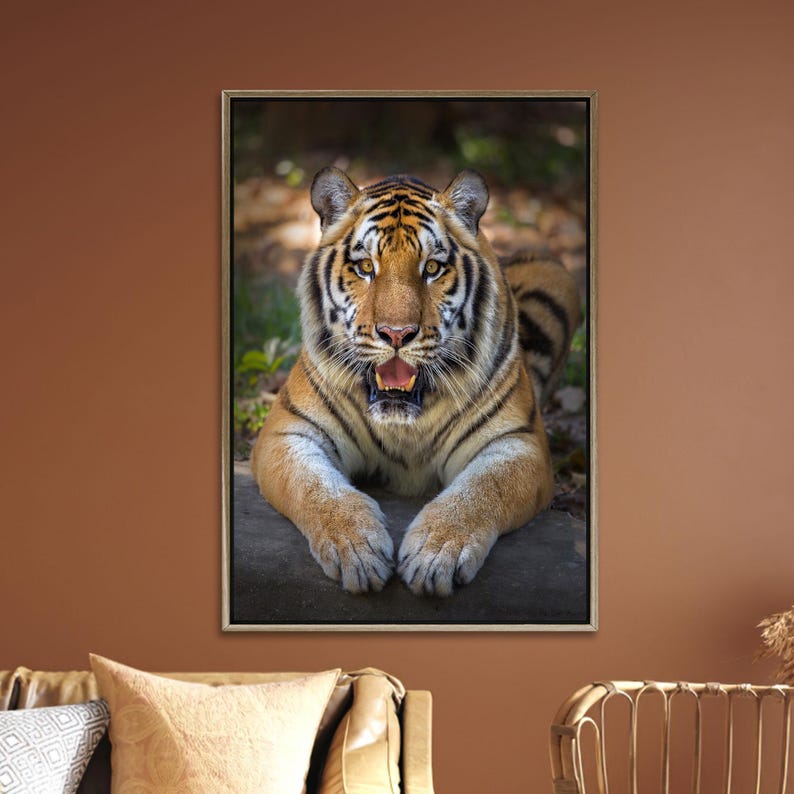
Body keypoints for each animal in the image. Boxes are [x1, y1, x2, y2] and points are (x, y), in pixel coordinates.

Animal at [250, 167, 581, 596]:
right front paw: (357, 549)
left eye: (432, 268)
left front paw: (435, 554)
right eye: (365, 267)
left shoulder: (518, 443)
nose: (397, 334)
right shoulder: (288, 432)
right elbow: (316, 488)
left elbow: (481, 491)